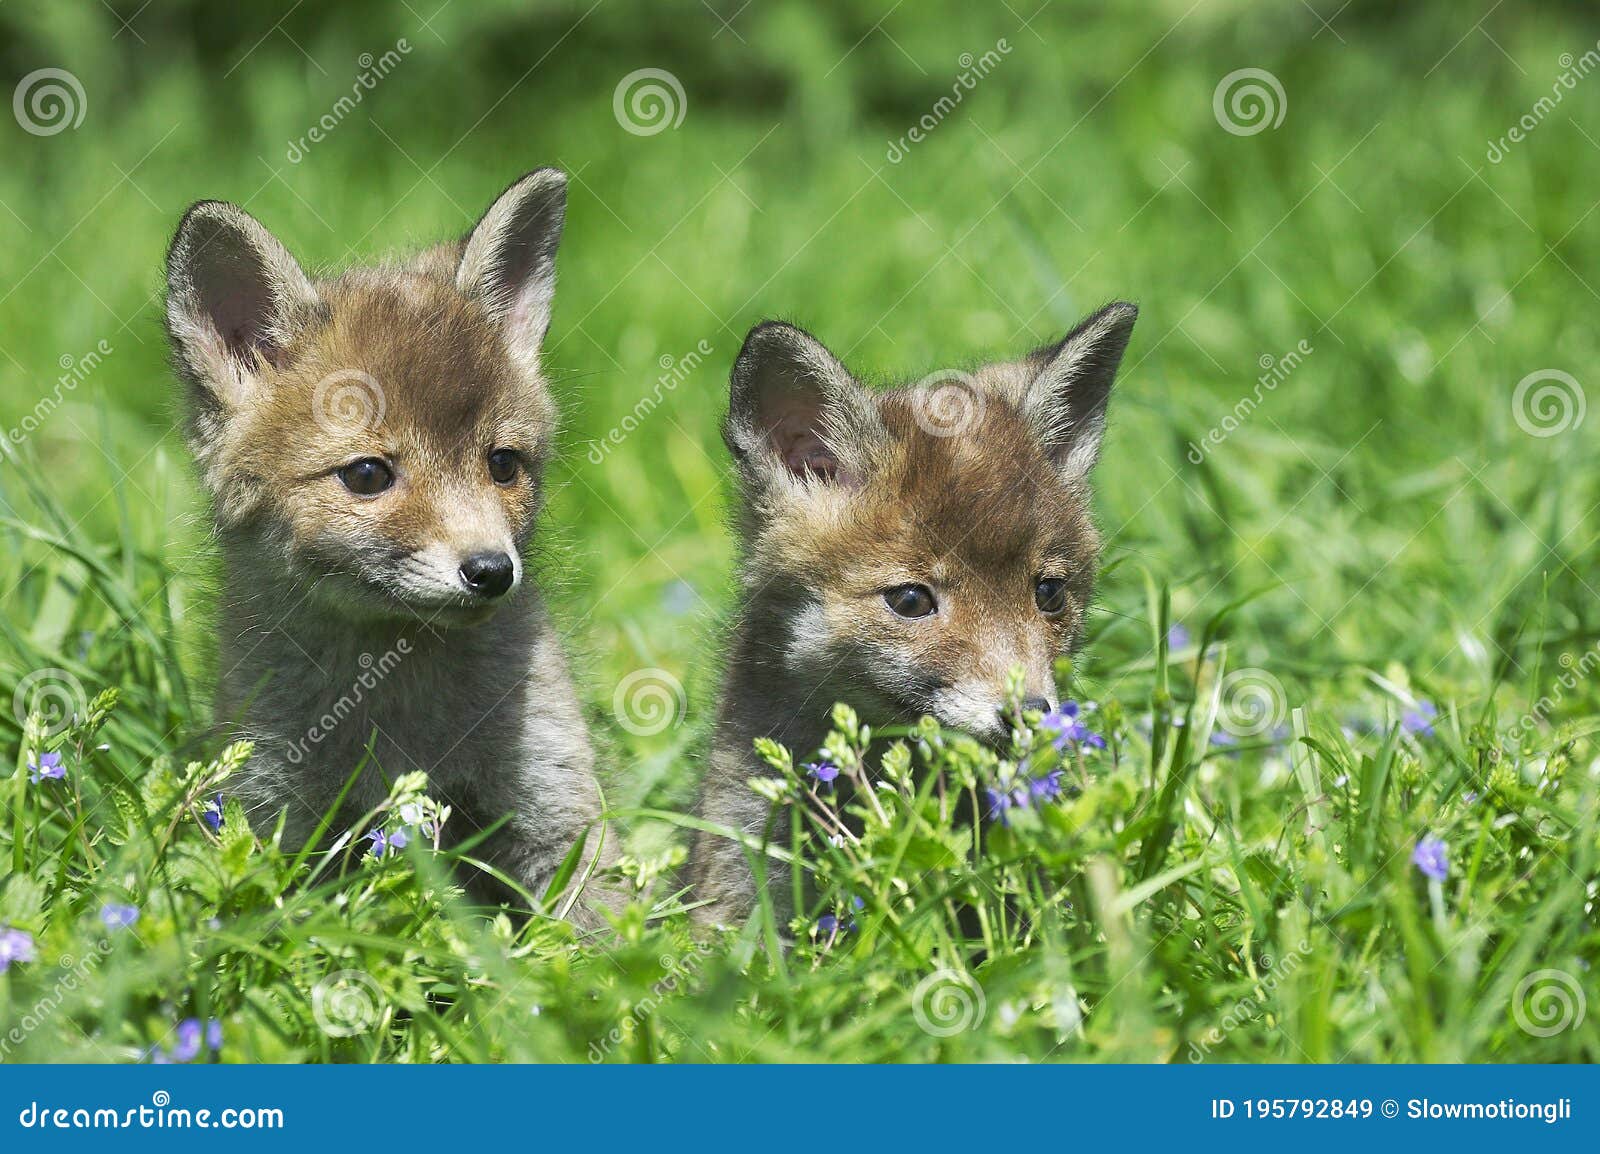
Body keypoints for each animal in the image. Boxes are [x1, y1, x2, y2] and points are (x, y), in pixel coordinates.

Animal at [163, 169, 616, 921]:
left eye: (503, 465)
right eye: (369, 475)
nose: (491, 570)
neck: (397, 700)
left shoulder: (553, 806)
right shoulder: (280, 813)